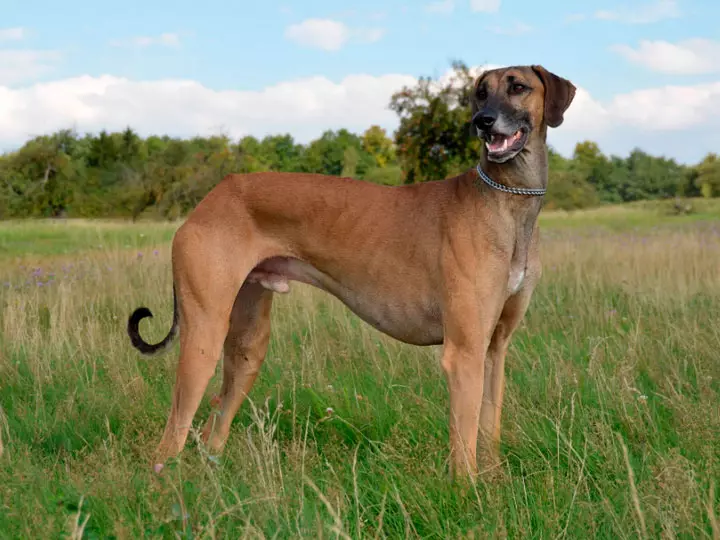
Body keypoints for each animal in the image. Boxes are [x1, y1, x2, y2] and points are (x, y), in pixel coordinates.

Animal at [128, 64, 572, 476]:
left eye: (518, 86)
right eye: (481, 92)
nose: (483, 121)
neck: (505, 201)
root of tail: (209, 200)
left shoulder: (494, 348)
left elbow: (489, 429)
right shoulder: (464, 352)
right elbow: (465, 448)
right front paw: (469, 494)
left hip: (247, 346)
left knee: (211, 430)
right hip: (203, 337)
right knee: (171, 438)